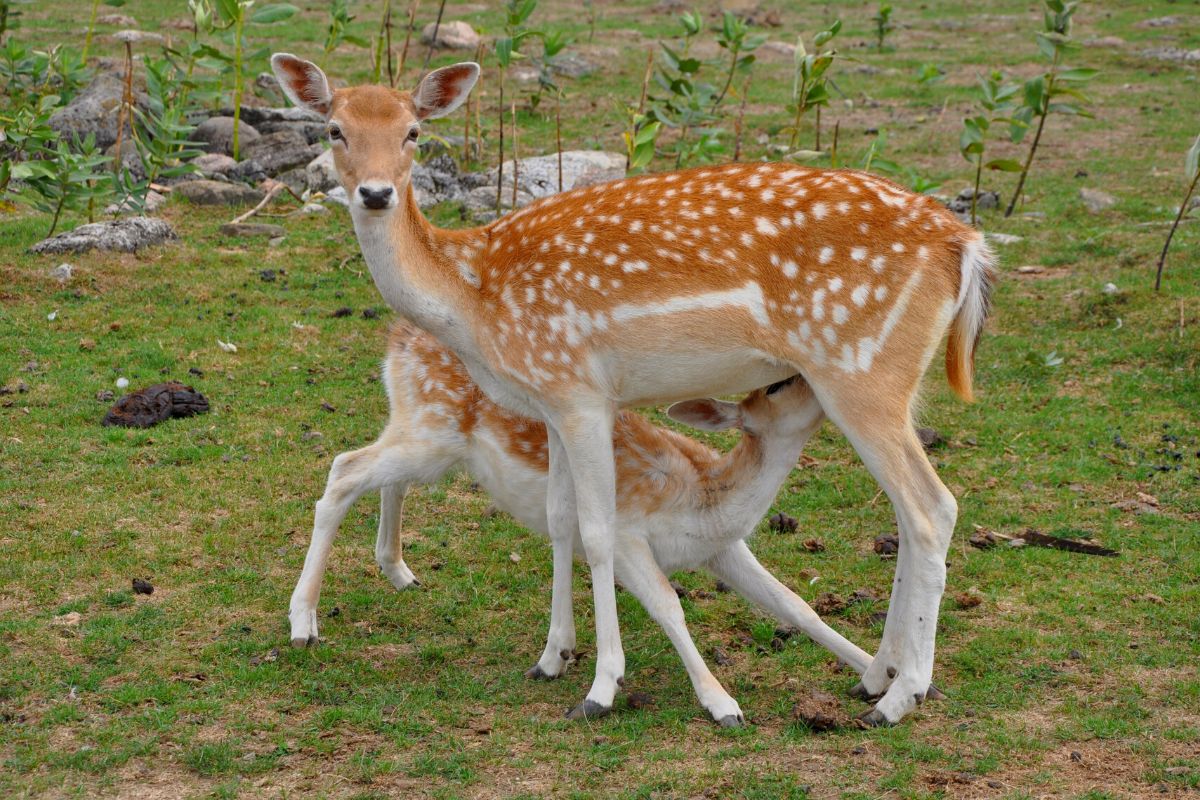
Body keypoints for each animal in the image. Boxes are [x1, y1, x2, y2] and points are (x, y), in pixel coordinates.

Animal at [288, 321, 876, 726]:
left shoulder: (721, 549)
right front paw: (722, 704)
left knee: (383, 477)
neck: (704, 497)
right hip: (430, 432)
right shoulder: (629, 534)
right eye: (776, 386)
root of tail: (397, 339)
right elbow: (670, 605)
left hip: (425, 440)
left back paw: (399, 572)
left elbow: (794, 604)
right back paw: (304, 624)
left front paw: (878, 673)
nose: (815, 377)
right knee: (344, 469)